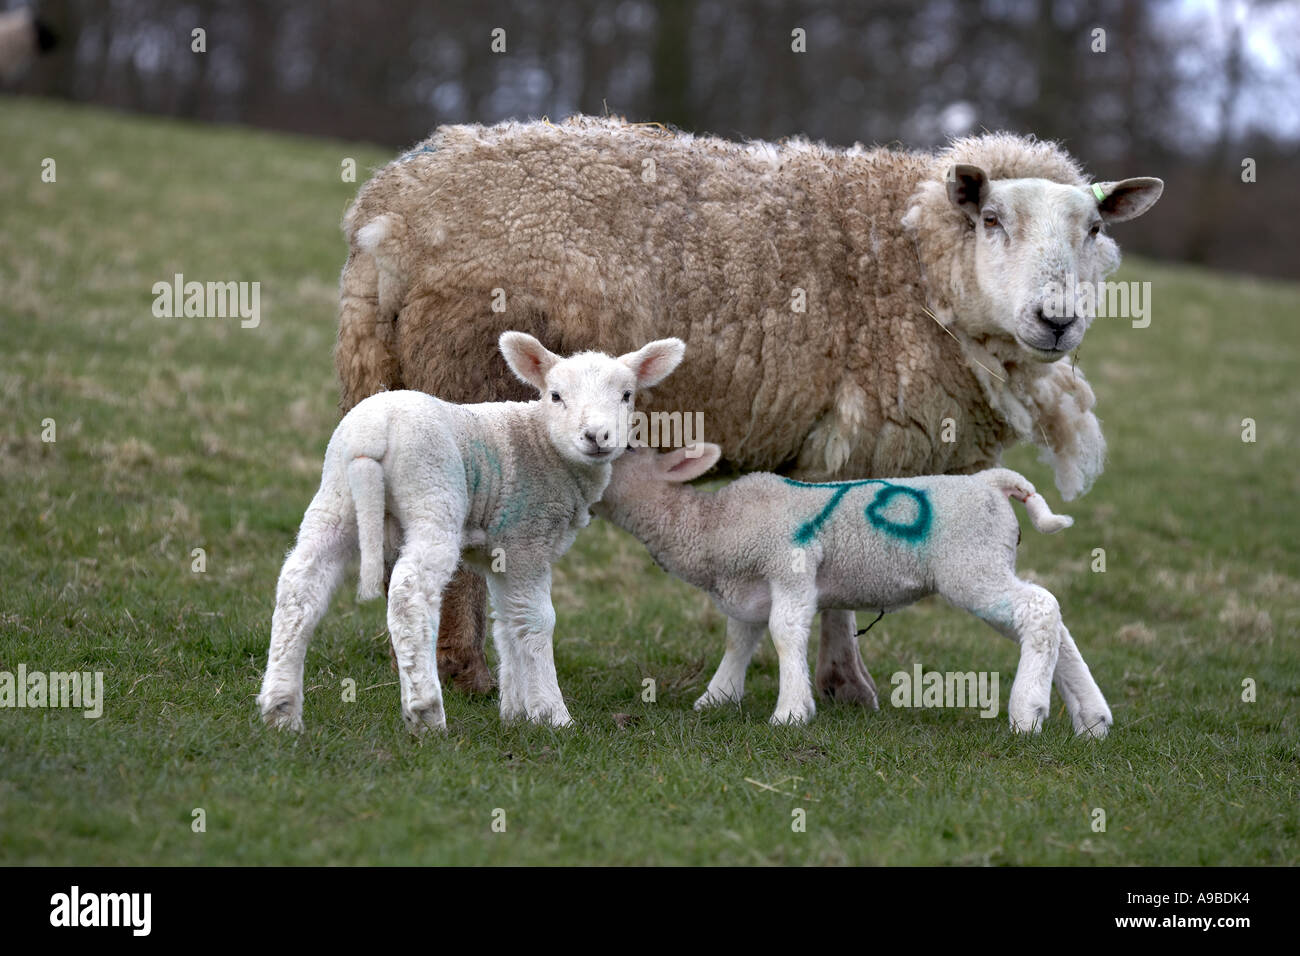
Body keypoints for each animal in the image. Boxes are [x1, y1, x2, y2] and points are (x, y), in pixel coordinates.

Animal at [257, 331, 686, 733]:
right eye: (556, 396)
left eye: (627, 395)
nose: (598, 436)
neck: (543, 443)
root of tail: (373, 433)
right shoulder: (526, 537)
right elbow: (537, 620)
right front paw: (552, 714)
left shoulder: (501, 552)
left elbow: (507, 622)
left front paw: (516, 713)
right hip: (432, 494)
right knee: (410, 594)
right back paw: (426, 712)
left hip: (335, 496)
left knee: (300, 585)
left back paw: (281, 710)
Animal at [334, 116, 1163, 703]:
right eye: (993, 220)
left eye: (1094, 229)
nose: (1057, 319)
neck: (910, 258)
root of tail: (387, 217)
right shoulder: (860, 442)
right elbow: (837, 586)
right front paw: (846, 684)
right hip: (467, 376)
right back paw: (466, 669)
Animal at [591, 442, 1113, 737]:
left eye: (628, 449)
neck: (710, 524)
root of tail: (991, 483)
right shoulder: (747, 590)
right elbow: (740, 638)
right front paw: (716, 697)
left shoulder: (792, 564)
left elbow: (785, 632)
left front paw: (791, 713)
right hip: (989, 567)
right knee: (1053, 622)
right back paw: (1092, 719)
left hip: (972, 569)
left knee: (1040, 608)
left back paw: (1028, 712)